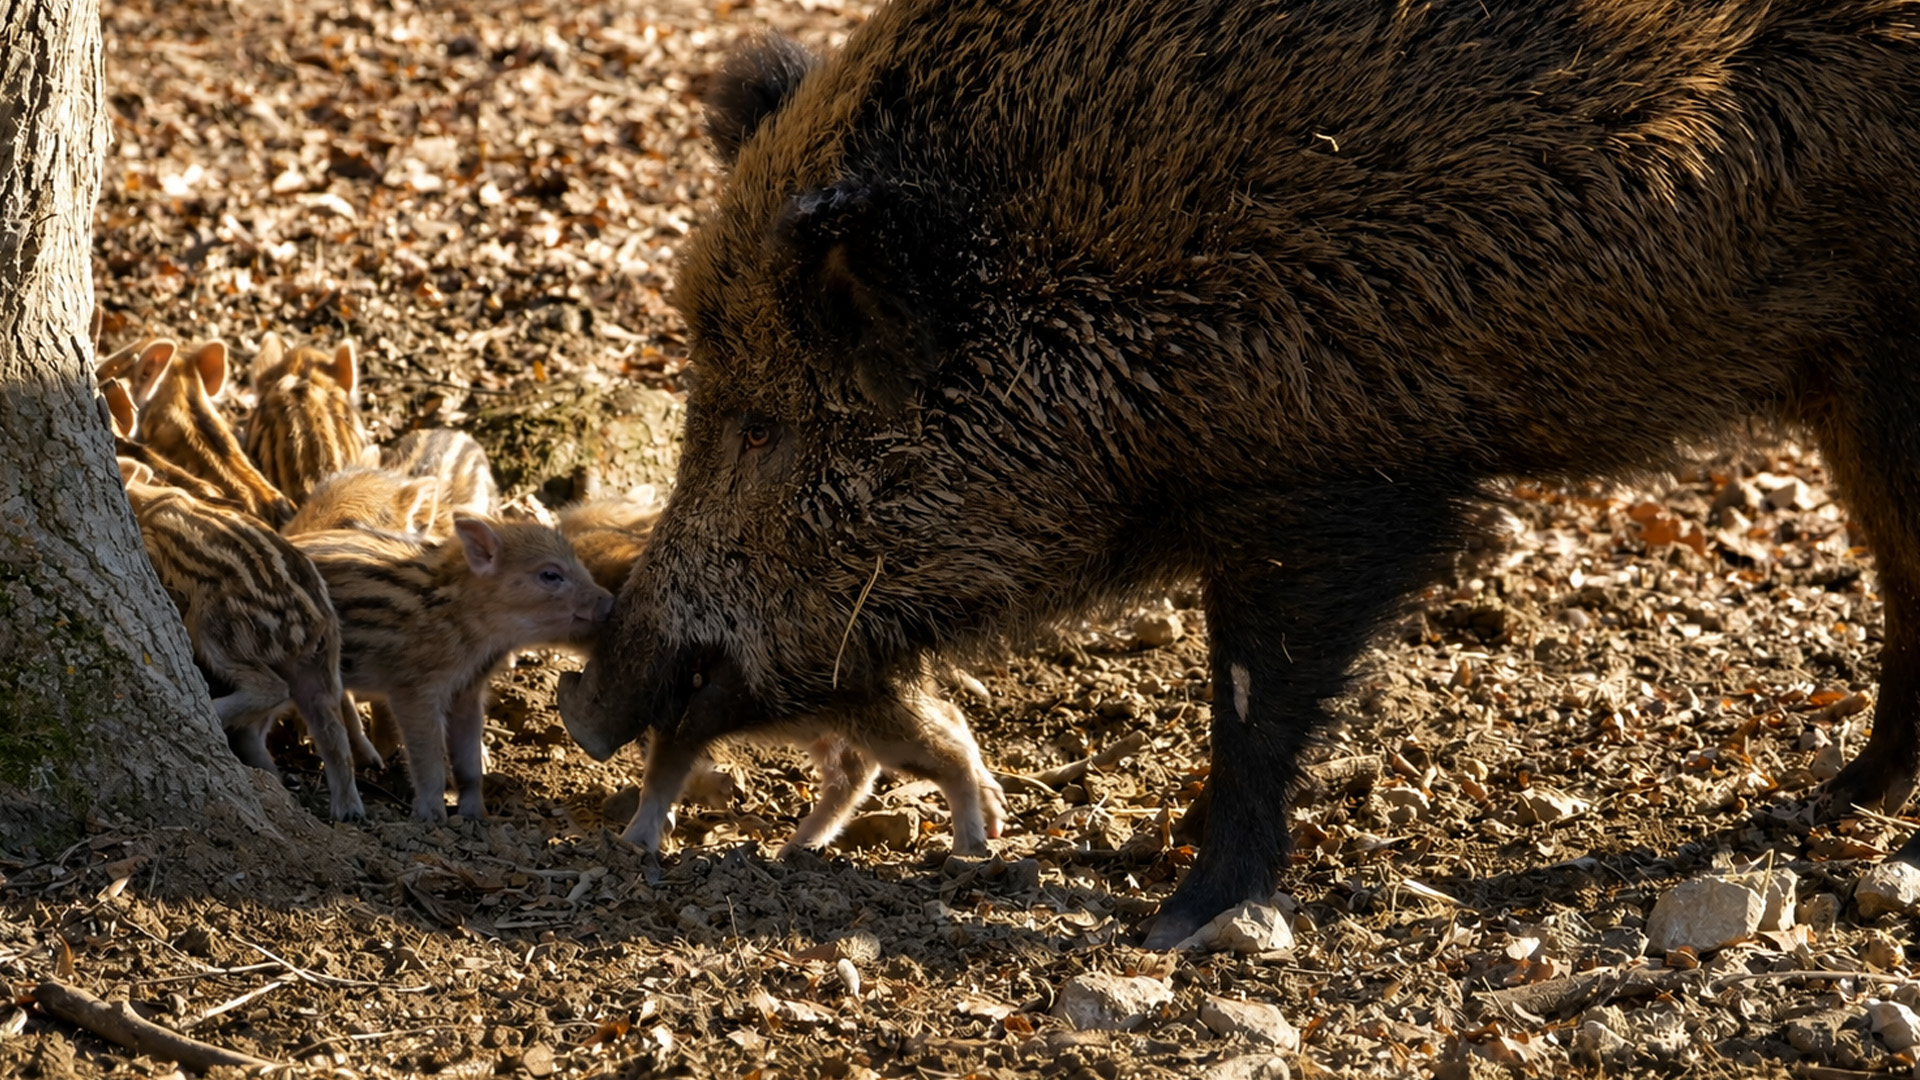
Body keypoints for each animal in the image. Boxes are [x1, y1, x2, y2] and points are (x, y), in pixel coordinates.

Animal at [559, 0, 1920, 948]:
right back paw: (1830, 803)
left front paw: (1181, 919)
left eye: (760, 427)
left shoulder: (1337, 475)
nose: (589, 703)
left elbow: (1258, 696)